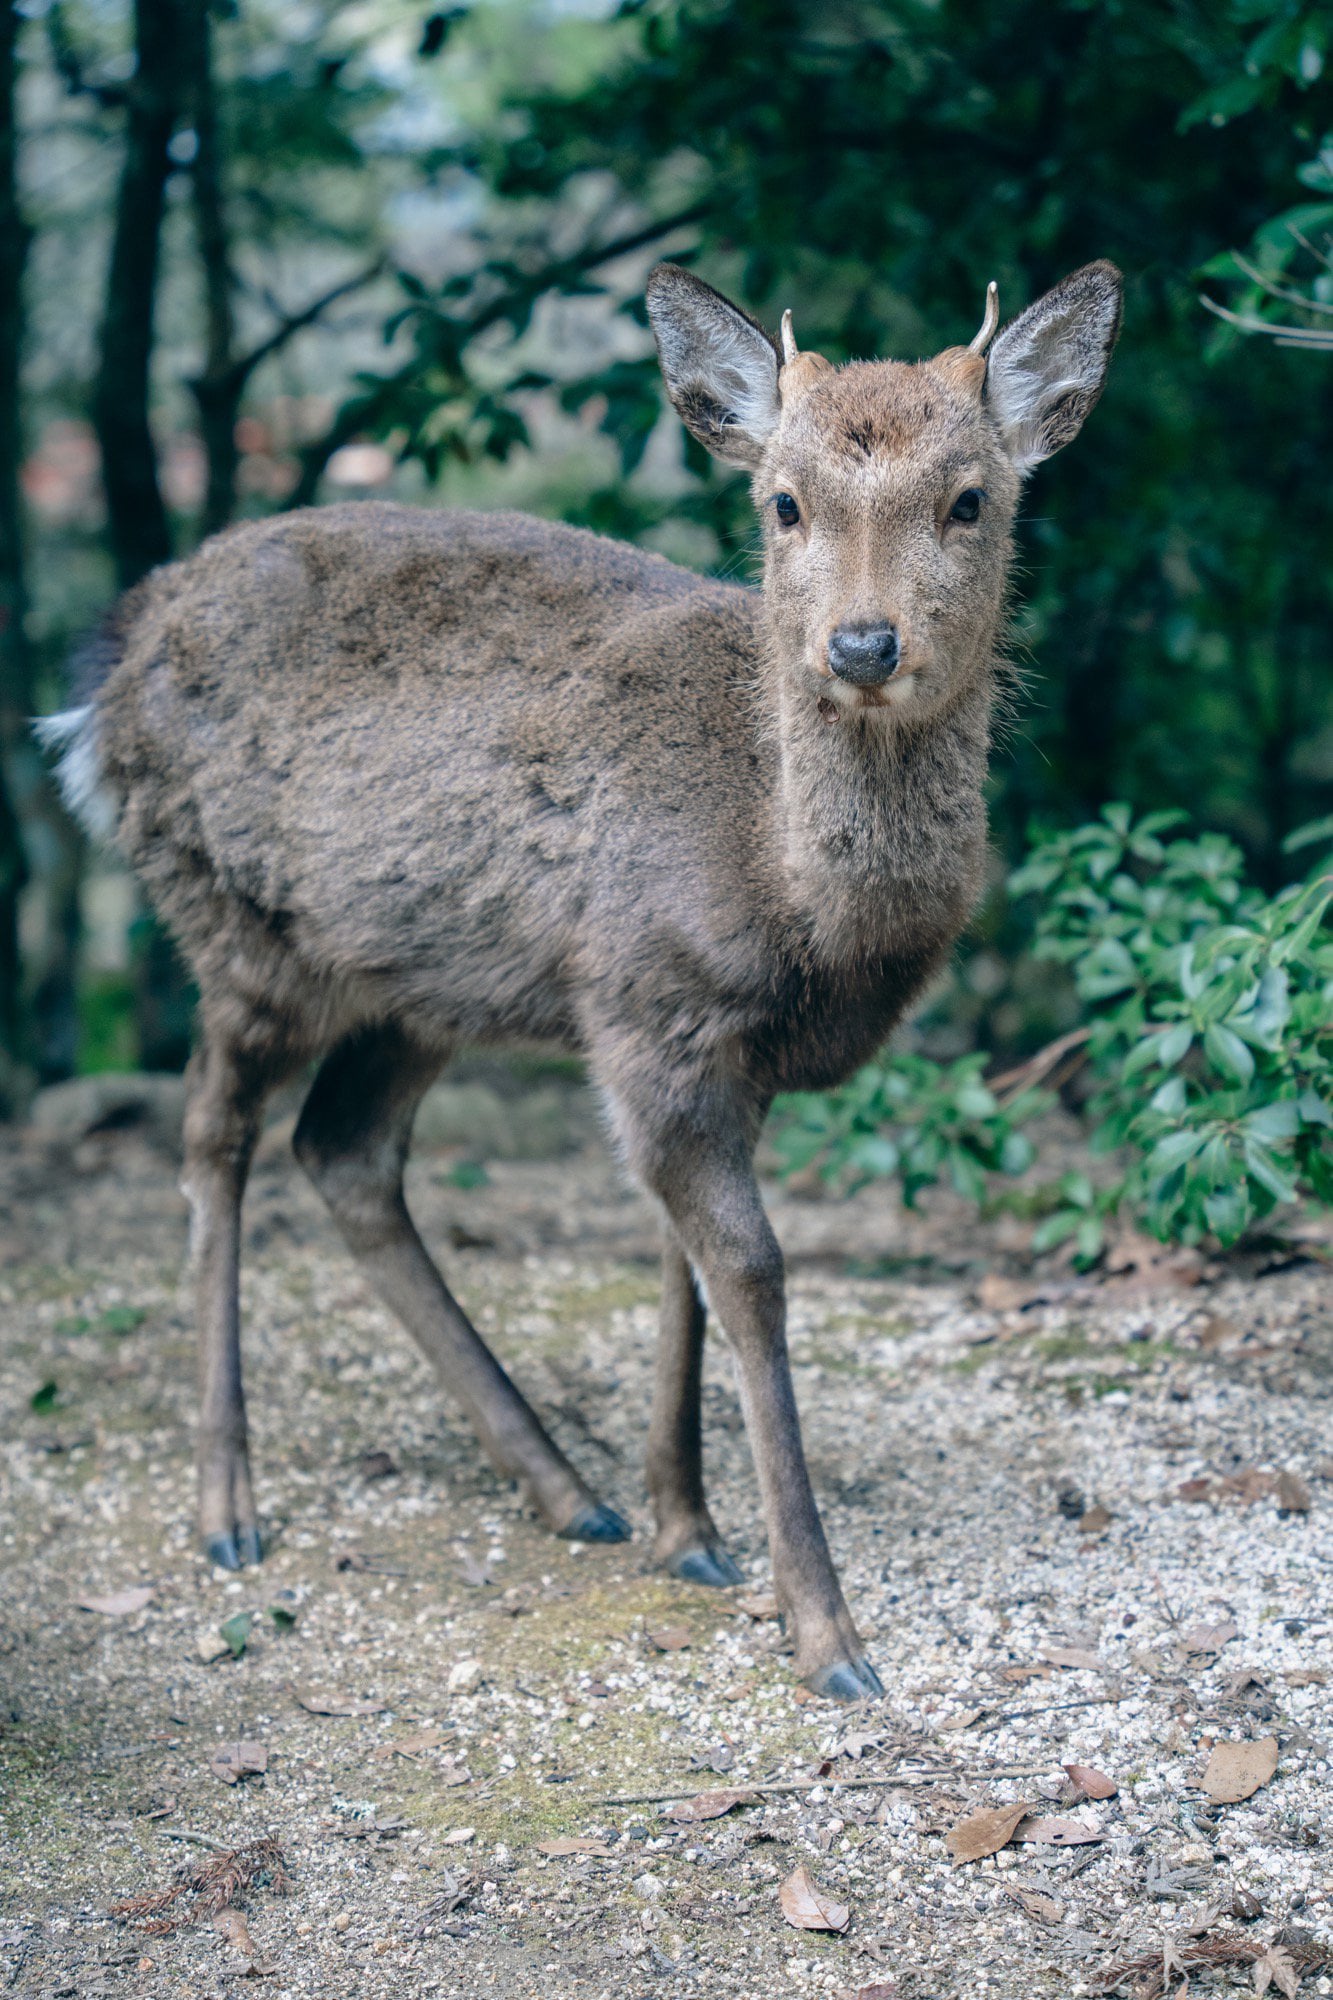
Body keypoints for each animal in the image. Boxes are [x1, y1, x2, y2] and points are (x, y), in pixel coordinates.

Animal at [42, 256, 1121, 1699]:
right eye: (783, 502)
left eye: (971, 498)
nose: (861, 646)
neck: (795, 907)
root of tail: (99, 675)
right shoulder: (644, 1006)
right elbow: (751, 1269)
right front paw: (825, 1630)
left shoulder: (713, 1049)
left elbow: (682, 1263)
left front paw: (686, 1524)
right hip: (242, 922)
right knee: (216, 1130)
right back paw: (228, 1506)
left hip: (423, 974)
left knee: (343, 1148)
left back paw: (566, 1488)